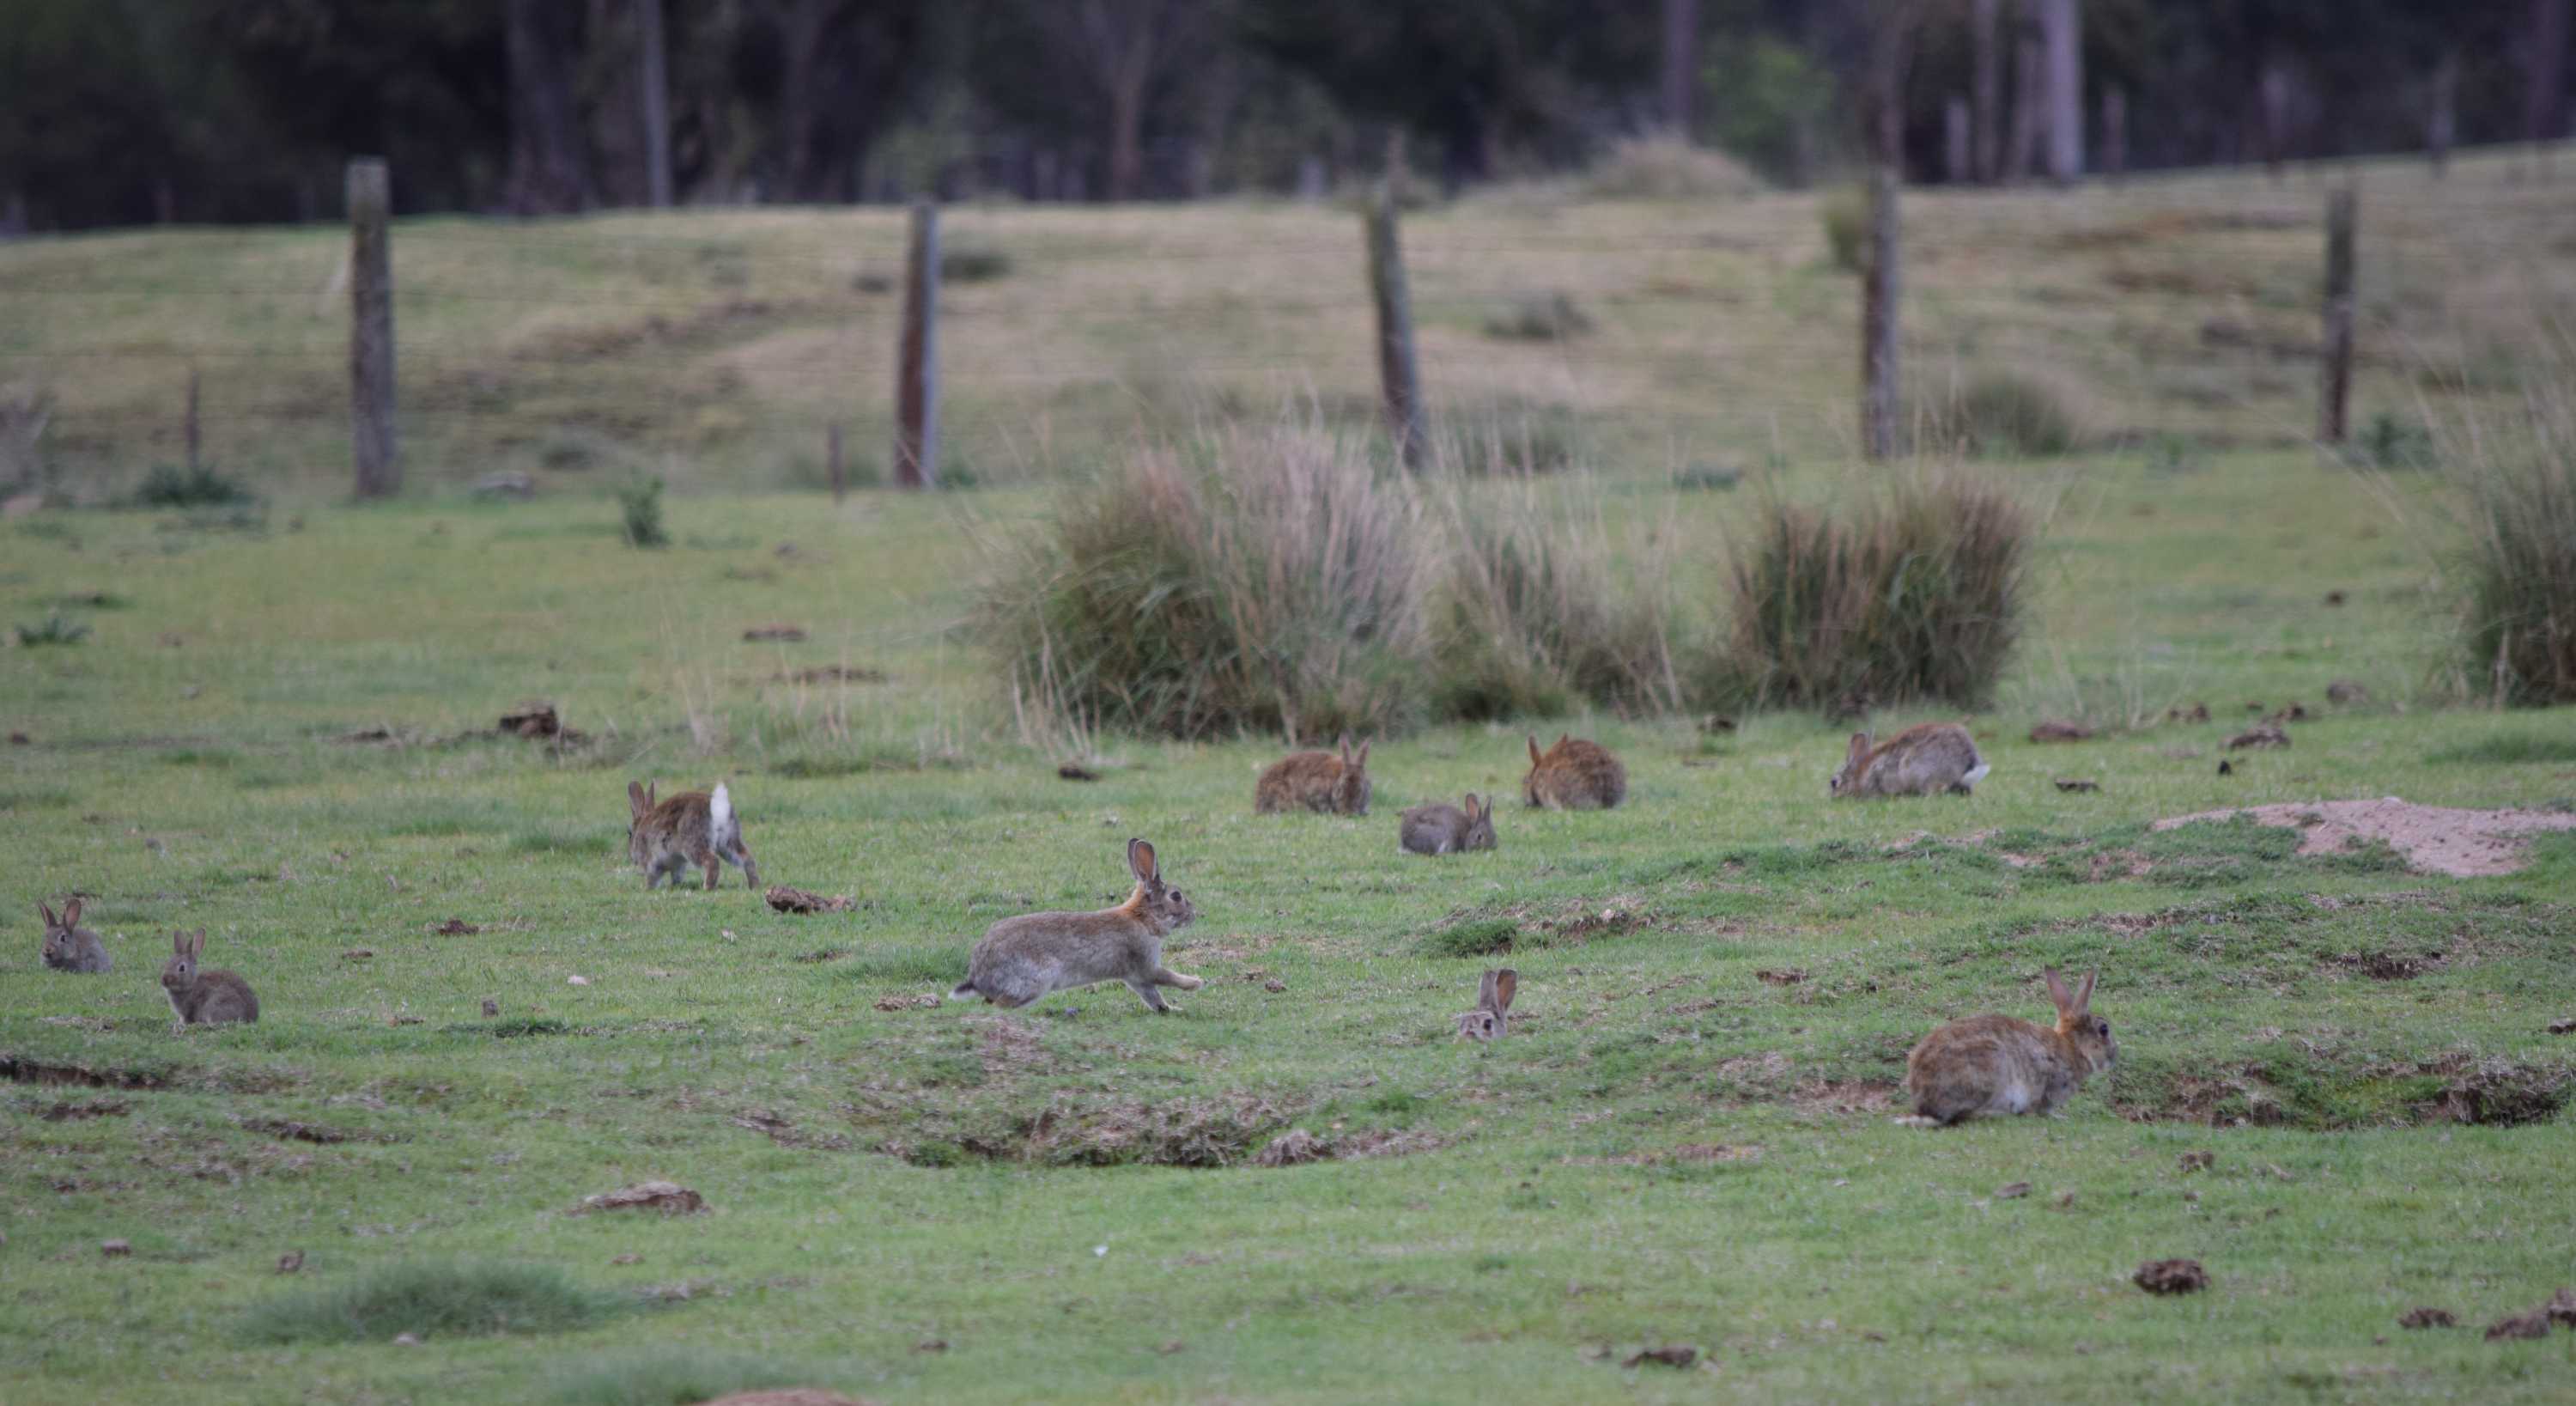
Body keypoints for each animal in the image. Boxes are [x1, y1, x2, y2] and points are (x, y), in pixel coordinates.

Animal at [626, 780, 760, 891]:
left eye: (629, 834)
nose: (632, 858)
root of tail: (716, 808)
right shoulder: (678, 864)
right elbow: (677, 876)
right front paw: (674, 886)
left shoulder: (651, 862)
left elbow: (652, 877)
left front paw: (647, 889)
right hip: (728, 841)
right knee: (747, 859)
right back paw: (754, 886)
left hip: (693, 843)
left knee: (712, 861)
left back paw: (707, 888)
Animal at [950, 838, 1202, 1013]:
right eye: (1176, 896)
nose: (1193, 915)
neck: (1143, 918)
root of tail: (979, 977)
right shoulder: (1144, 964)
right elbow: (1165, 977)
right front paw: (1196, 983)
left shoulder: (1135, 977)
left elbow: (1153, 996)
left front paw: (1172, 1009)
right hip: (1036, 980)